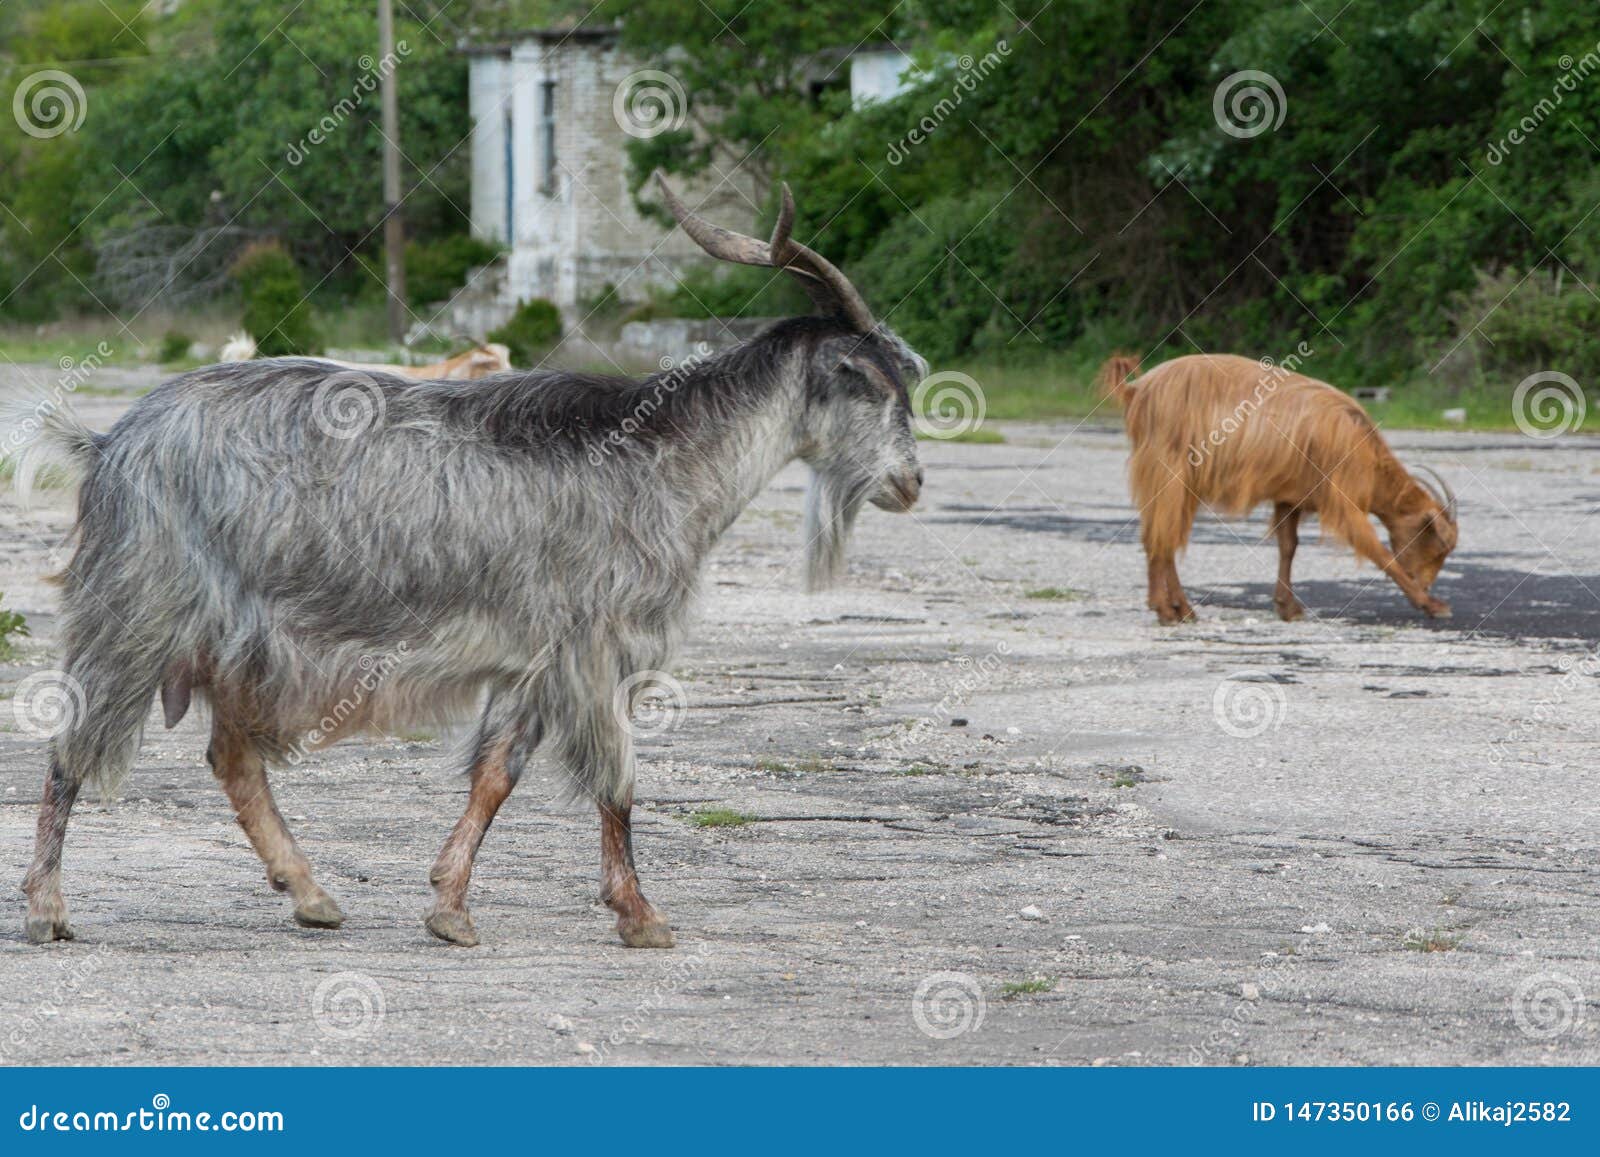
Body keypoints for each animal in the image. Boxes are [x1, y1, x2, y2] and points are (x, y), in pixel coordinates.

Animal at [7, 174, 926, 949]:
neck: (664, 457)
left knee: (230, 757)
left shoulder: (532, 655)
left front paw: (449, 906)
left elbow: (496, 773)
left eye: (908, 378)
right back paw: (49, 909)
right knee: (71, 747)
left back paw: (311, 893)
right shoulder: (594, 647)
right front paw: (640, 915)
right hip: (138, 612)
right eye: (865, 379)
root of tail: (108, 443)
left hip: (239, 644)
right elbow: (618, 780)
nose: (912, 482)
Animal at [1099, 352, 1457, 624]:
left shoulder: (1290, 496)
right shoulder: (1342, 501)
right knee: (1162, 535)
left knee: (1160, 535)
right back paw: (1169, 610)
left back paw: (1175, 608)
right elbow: (1377, 550)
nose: (1425, 584)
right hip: (1170, 473)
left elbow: (1289, 546)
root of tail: (1138, 389)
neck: (1362, 445)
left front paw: (1287, 607)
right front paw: (1432, 605)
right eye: (1438, 546)